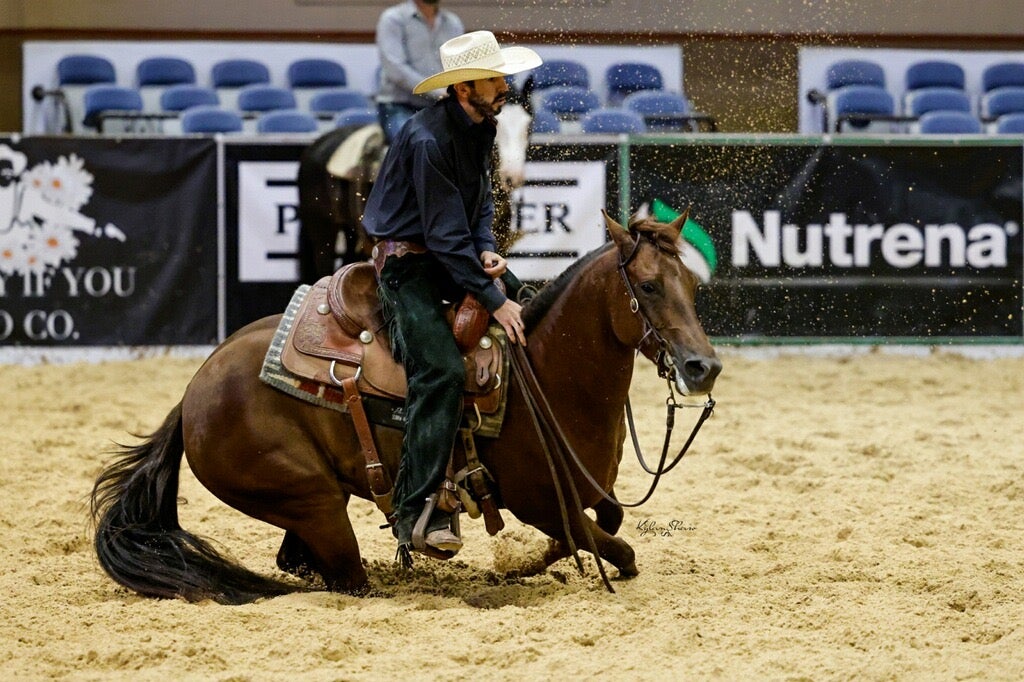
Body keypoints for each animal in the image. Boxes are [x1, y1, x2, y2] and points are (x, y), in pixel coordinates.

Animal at [90, 209, 722, 604]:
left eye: (692, 283)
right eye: (647, 285)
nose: (703, 367)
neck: (546, 374)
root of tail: (192, 394)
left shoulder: (585, 495)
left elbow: (605, 527)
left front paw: (523, 566)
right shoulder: (542, 502)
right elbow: (614, 546)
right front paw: (520, 565)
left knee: (298, 560)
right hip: (314, 501)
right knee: (343, 577)